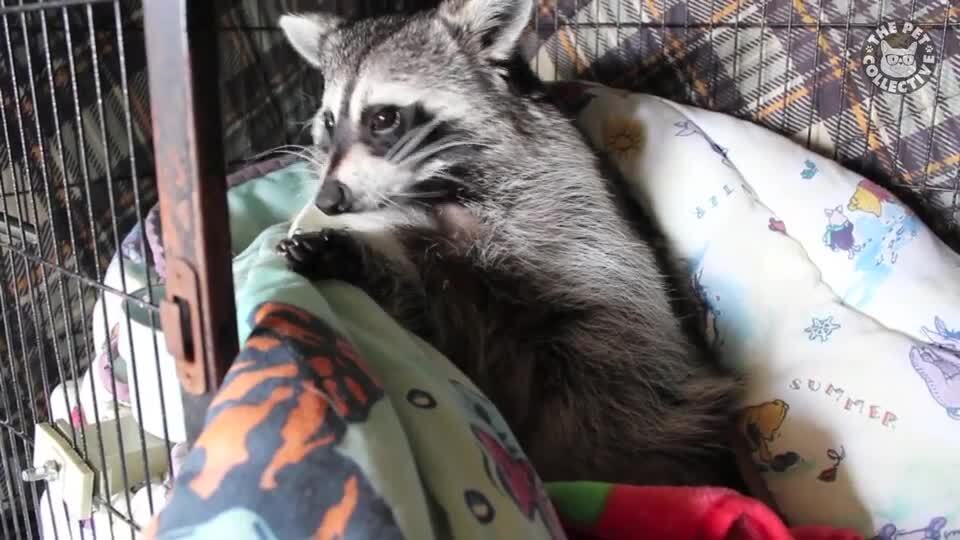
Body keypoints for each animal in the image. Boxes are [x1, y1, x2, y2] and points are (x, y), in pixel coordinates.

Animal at [276, 0, 742, 486]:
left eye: (382, 118)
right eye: (329, 121)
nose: (328, 199)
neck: (439, 187)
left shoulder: (569, 213)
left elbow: (604, 314)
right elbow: (429, 314)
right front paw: (353, 257)